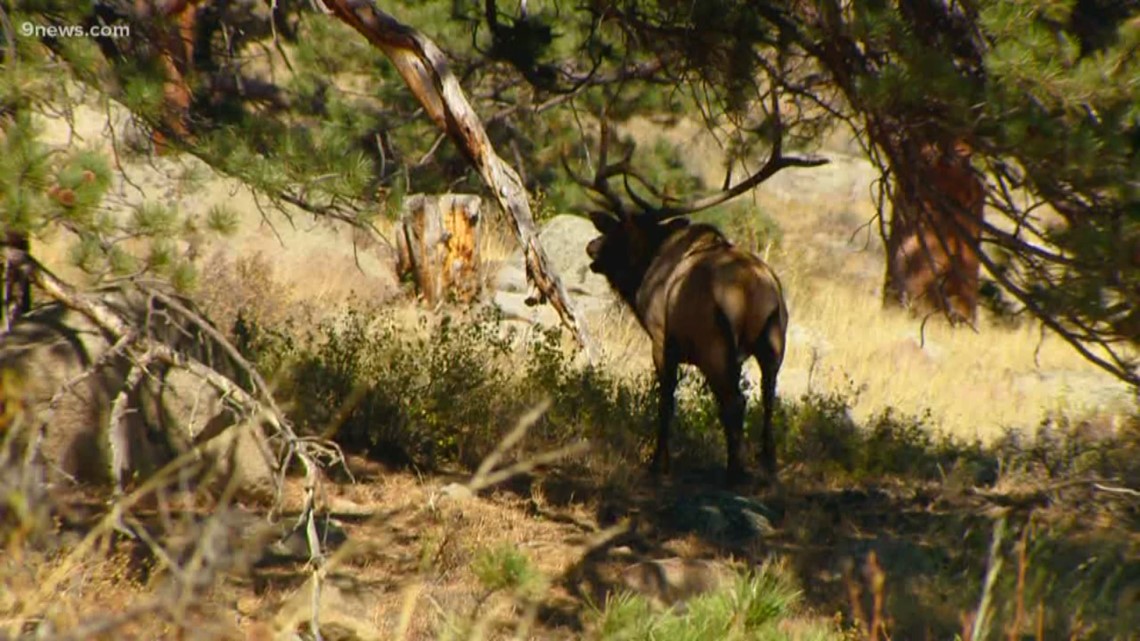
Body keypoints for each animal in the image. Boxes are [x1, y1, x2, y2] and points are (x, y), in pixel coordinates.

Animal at [566, 119, 826, 486]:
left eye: (617, 231)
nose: (591, 246)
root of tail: (754, 291)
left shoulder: (661, 339)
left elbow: (666, 400)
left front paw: (657, 464)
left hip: (714, 343)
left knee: (734, 401)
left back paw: (735, 471)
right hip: (774, 338)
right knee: (767, 396)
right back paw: (767, 464)